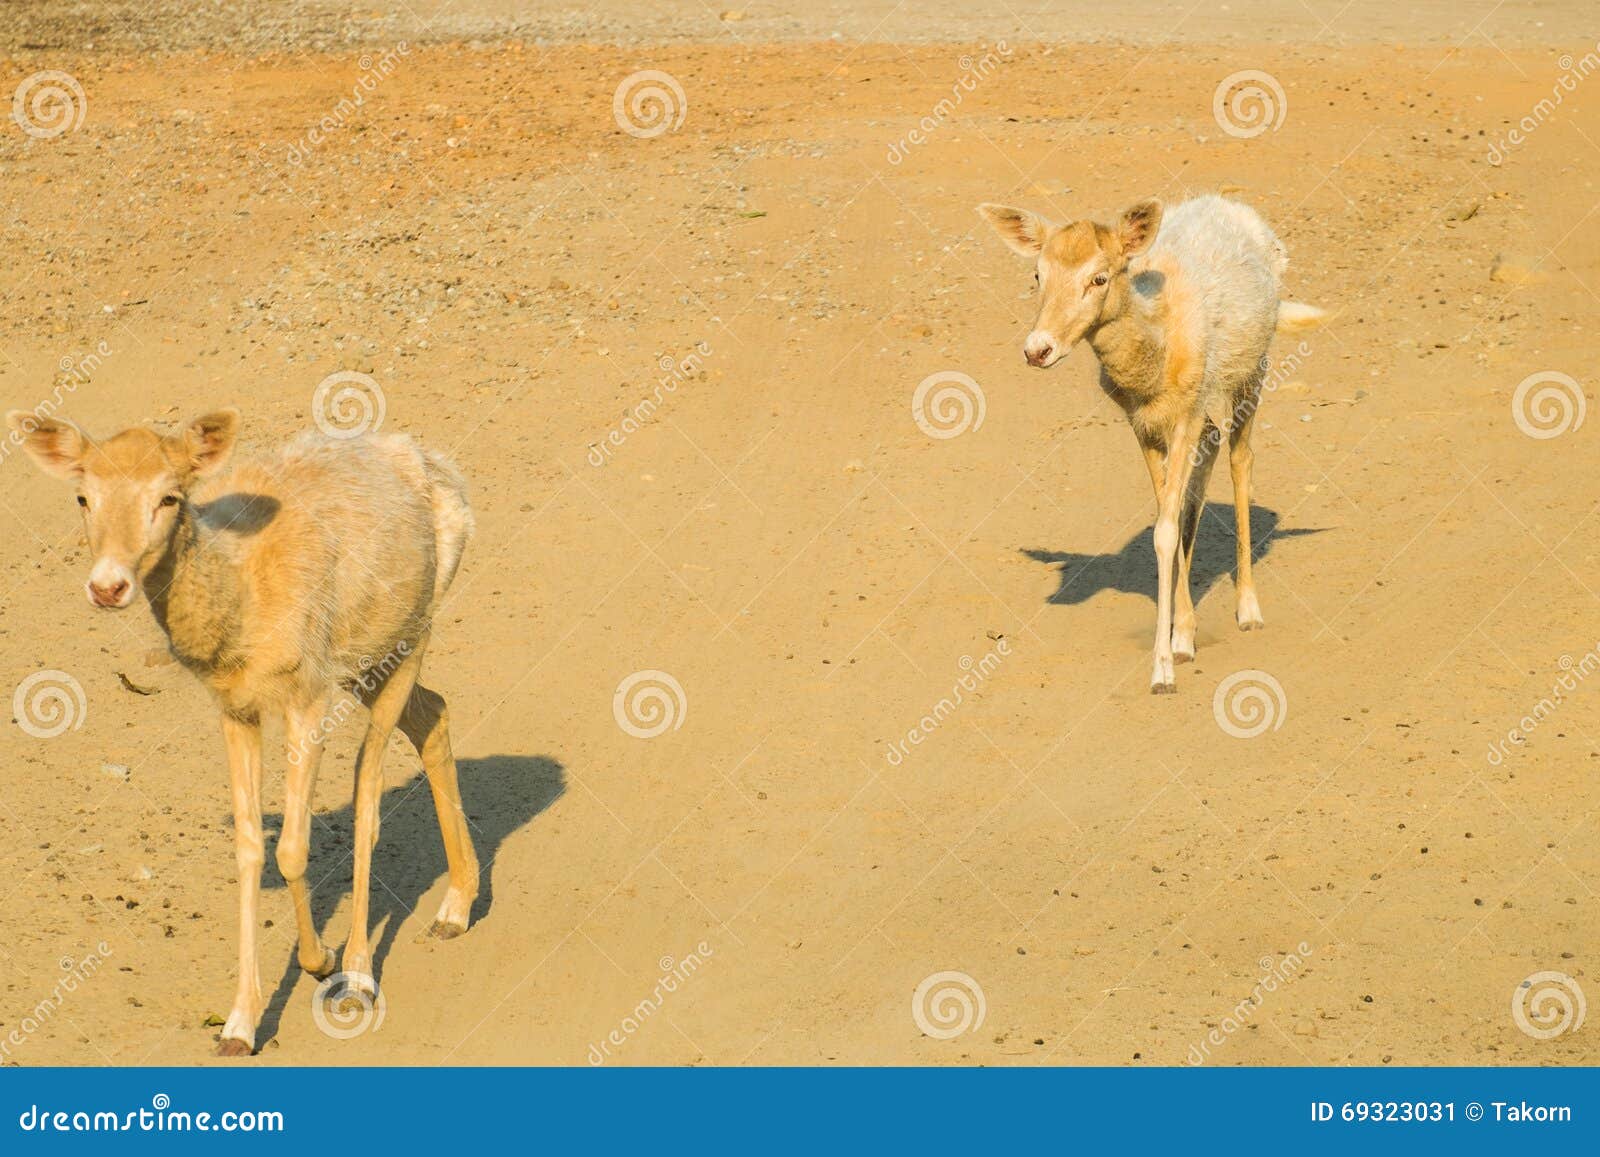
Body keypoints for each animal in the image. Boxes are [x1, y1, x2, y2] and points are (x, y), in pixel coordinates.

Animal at [7, 407, 480, 1055]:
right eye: (83, 495)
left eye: (169, 496)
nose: (107, 586)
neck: (243, 602)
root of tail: (441, 467)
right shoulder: (235, 709)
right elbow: (251, 848)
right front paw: (238, 1025)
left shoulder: (306, 694)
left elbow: (293, 847)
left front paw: (319, 960)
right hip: (365, 662)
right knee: (434, 712)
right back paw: (456, 908)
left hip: (413, 632)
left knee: (369, 786)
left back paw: (361, 971)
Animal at [978, 193, 1325, 693]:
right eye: (1038, 274)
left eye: (1099, 277)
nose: (1037, 349)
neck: (1155, 361)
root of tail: (1229, 203)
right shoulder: (1141, 423)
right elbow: (1167, 517)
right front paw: (1182, 638)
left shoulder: (1187, 411)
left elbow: (1165, 529)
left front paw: (1162, 671)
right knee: (1210, 453)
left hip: (1254, 366)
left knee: (1241, 457)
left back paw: (1248, 609)